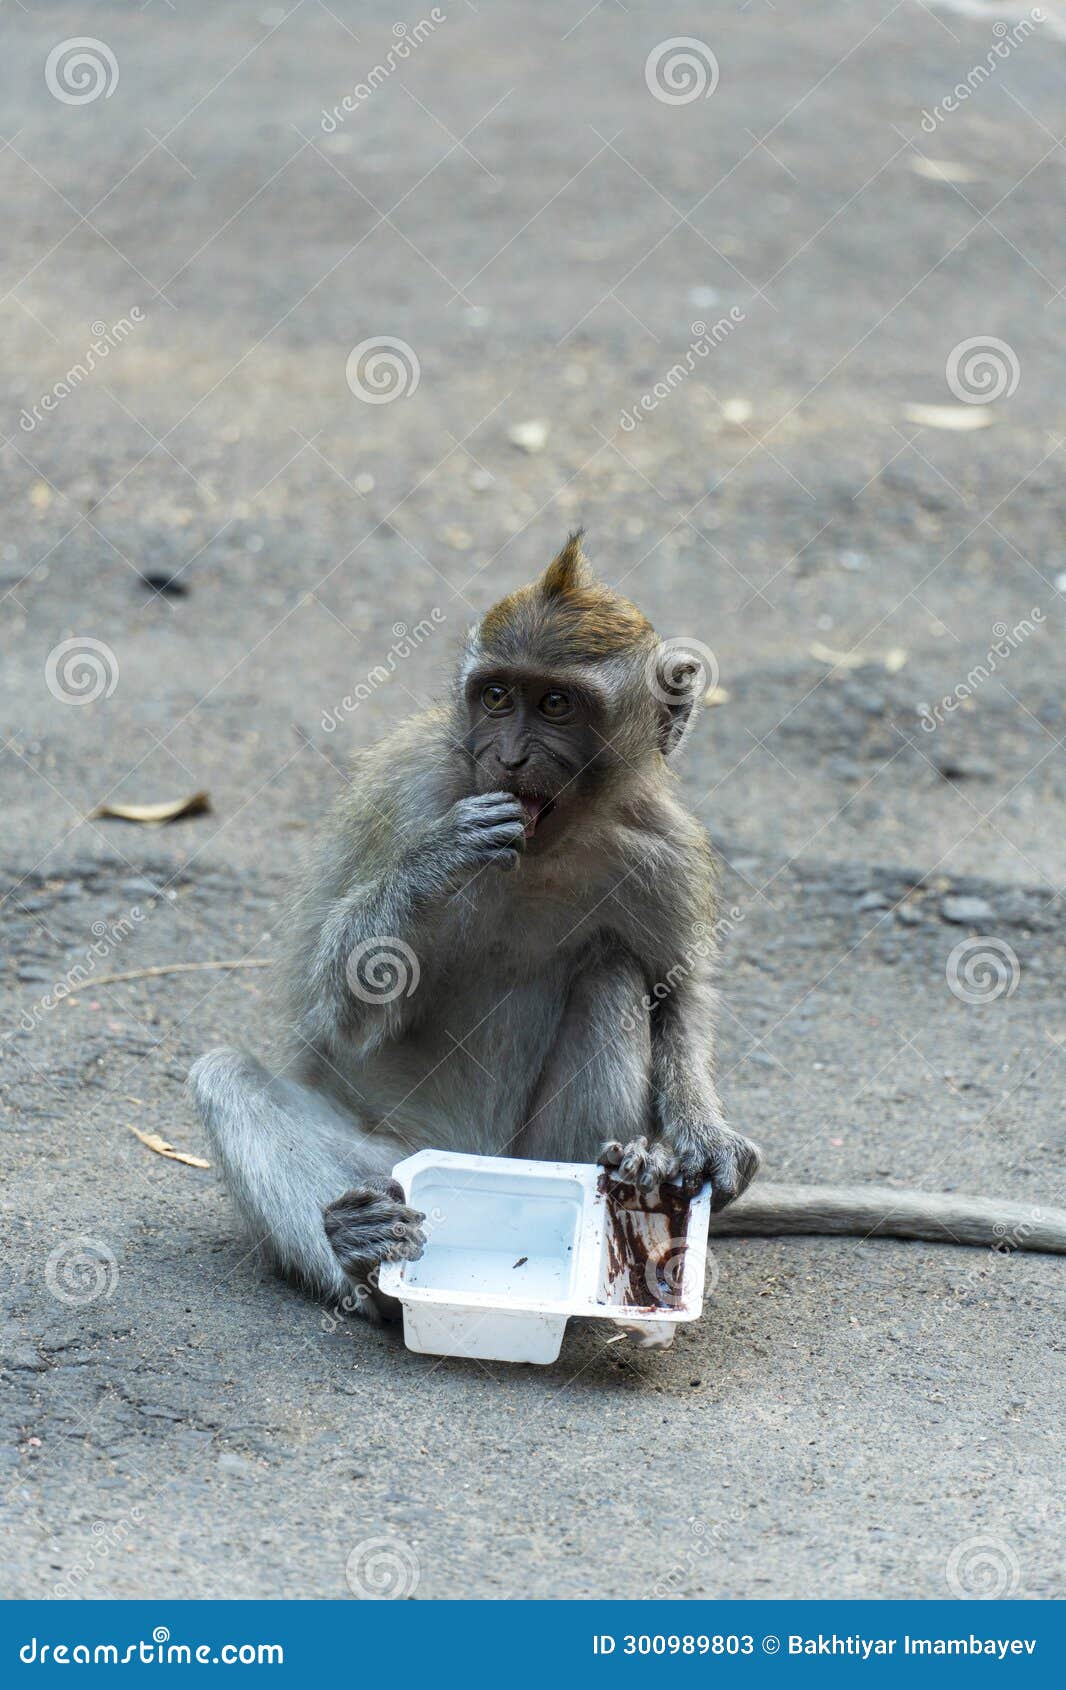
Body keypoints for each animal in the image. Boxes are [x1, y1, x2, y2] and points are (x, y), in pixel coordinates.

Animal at [190, 533, 1066, 1326]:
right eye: (497, 696)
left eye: (556, 704)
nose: (509, 759)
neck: (552, 840)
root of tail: (481, 1153)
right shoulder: (404, 793)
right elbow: (337, 1010)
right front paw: (439, 859)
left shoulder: (666, 845)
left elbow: (678, 989)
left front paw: (703, 1137)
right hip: (389, 1158)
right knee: (232, 1081)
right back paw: (360, 1258)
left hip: (538, 1152)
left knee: (612, 975)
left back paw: (635, 1167)